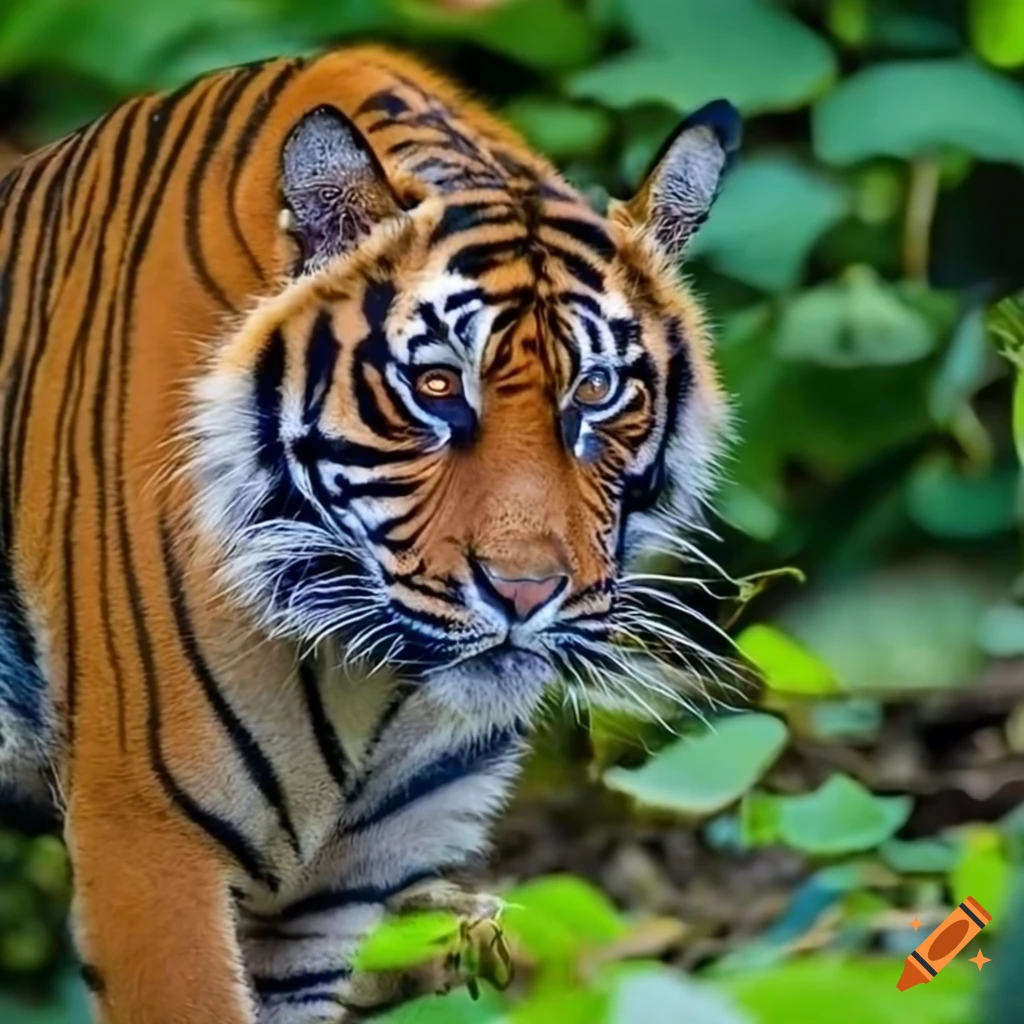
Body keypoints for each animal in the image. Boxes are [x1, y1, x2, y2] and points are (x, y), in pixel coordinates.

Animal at [0, 43, 739, 1024]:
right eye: (435, 388)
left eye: (596, 391)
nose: (525, 593)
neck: (376, 683)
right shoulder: (147, 844)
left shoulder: (335, 896)